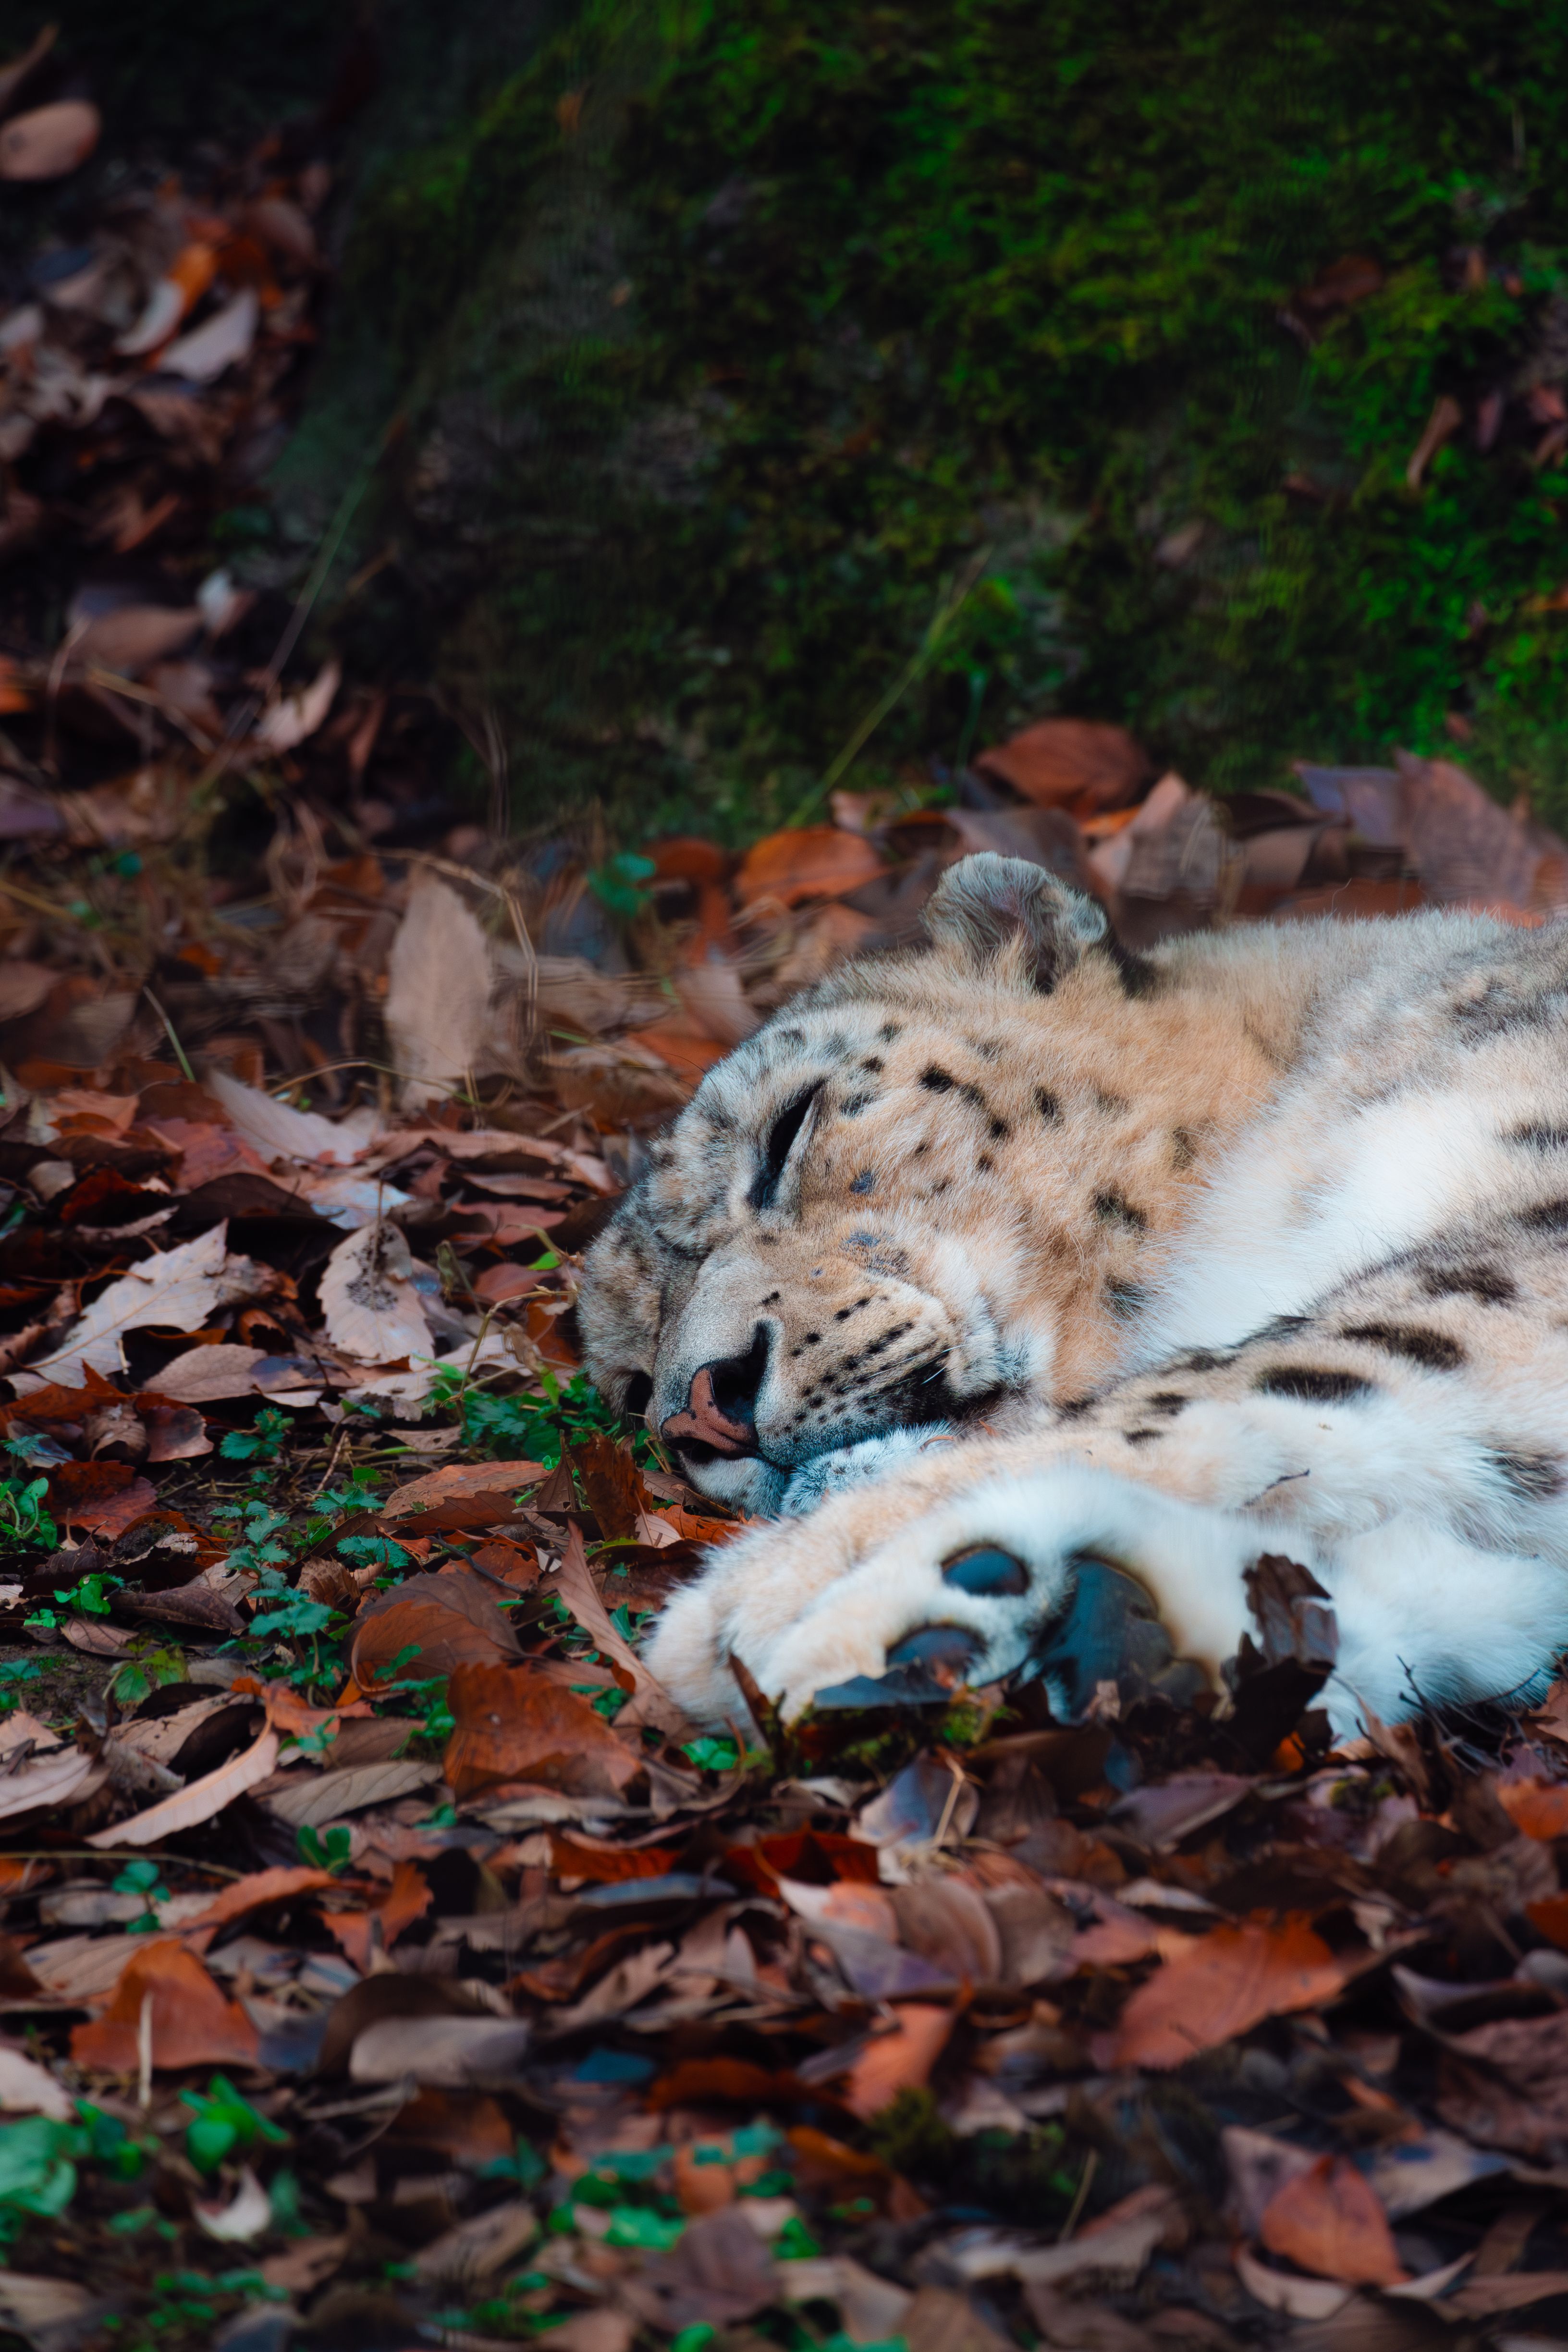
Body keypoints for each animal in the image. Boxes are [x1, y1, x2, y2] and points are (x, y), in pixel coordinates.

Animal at [579, 851, 1568, 1737]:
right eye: (634, 1386)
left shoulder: (1519, 1245)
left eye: (787, 1128)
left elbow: (1237, 1379)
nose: (707, 1412)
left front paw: (779, 1588)